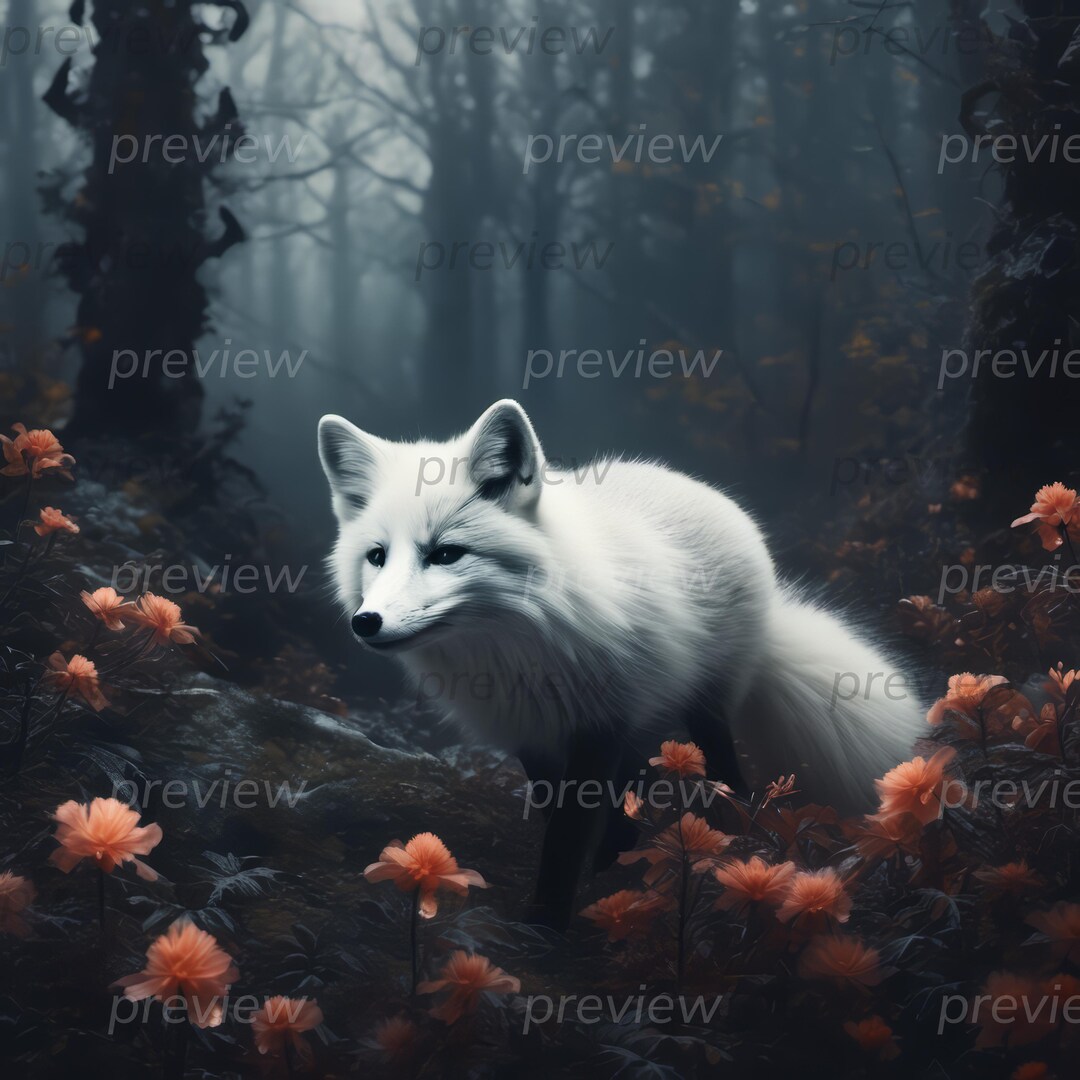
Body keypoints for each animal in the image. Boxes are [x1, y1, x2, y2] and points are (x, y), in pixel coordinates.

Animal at [317, 399, 925, 927]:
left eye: (446, 554)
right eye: (377, 556)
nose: (366, 622)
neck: (512, 647)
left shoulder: (596, 724)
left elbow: (566, 837)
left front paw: (547, 926)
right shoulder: (532, 732)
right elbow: (558, 817)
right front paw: (573, 894)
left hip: (701, 708)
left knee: (730, 780)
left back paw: (734, 850)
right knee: (630, 796)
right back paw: (618, 864)